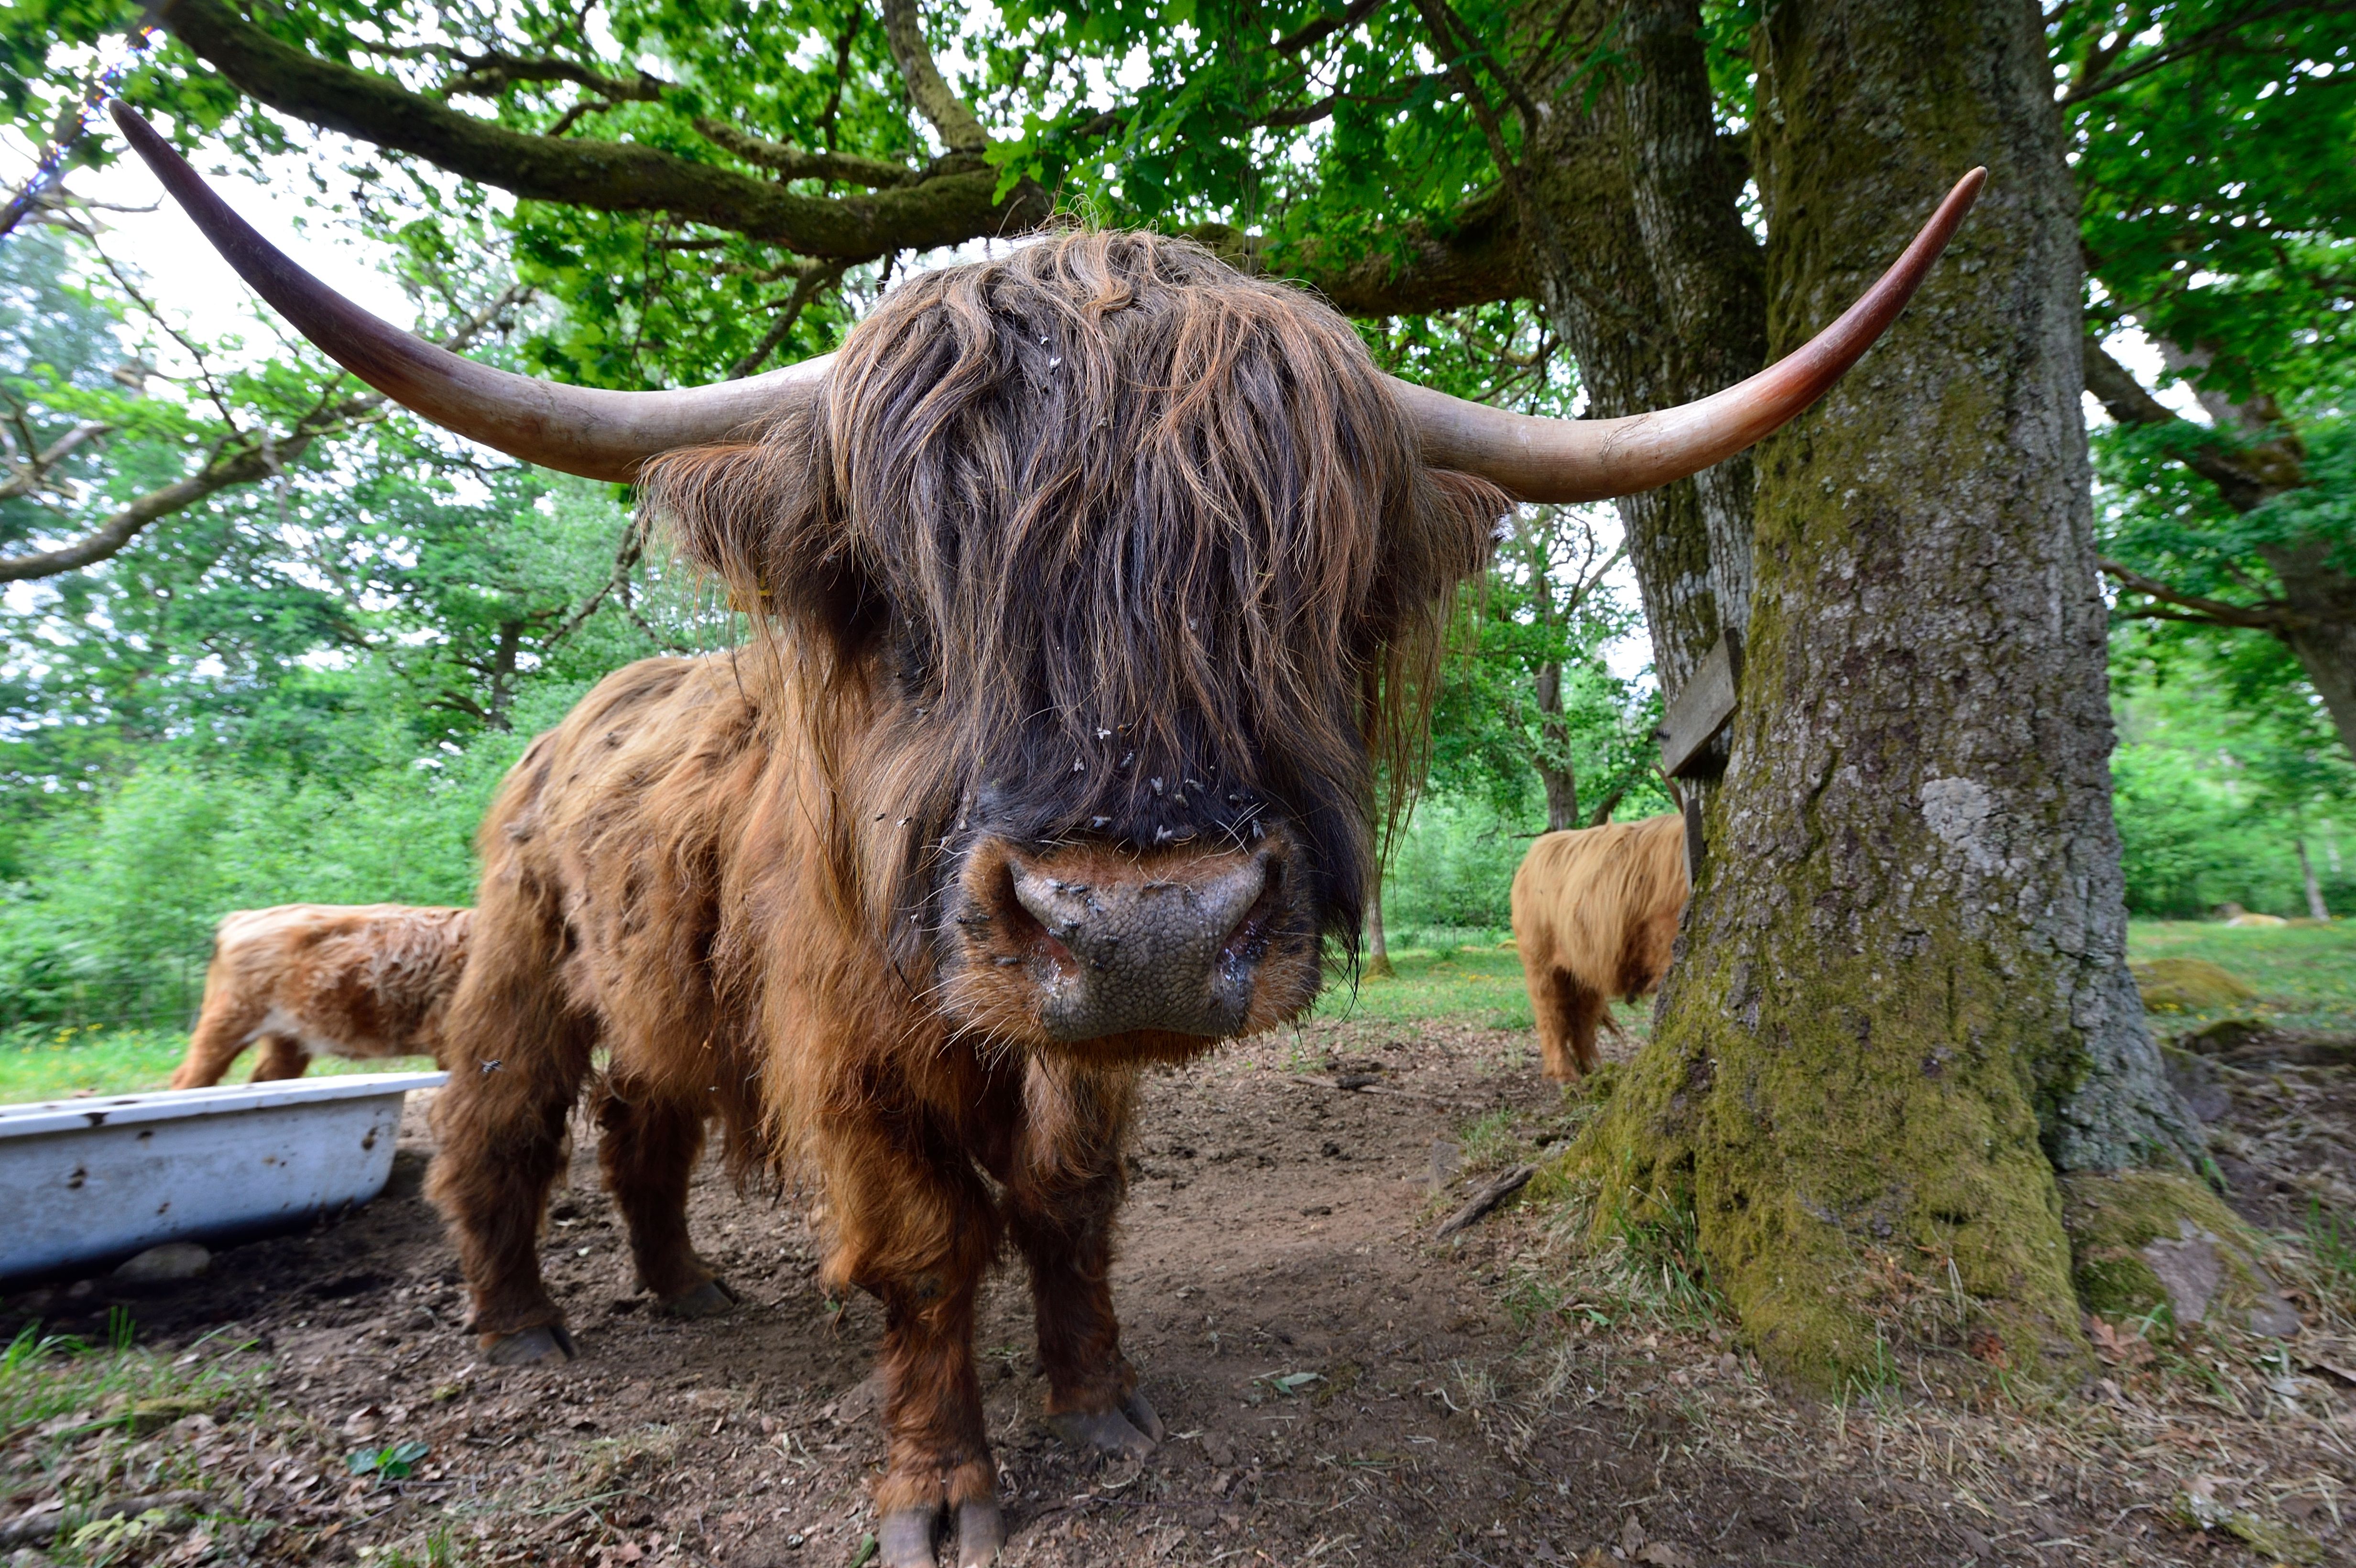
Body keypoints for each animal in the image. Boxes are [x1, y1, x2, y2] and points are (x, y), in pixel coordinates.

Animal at [168, 904, 470, 1089]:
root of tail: (239, 918)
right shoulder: (446, 1037)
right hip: (228, 1018)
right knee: (189, 1077)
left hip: (286, 1036)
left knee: (267, 1077)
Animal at [1510, 814, 1687, 1081]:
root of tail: (1532, 855)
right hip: (1540, 962)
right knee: (1550, 1013)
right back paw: (1565, 1075)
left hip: (1583, 966)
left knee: (1581, 1017)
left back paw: (1593, 1072)